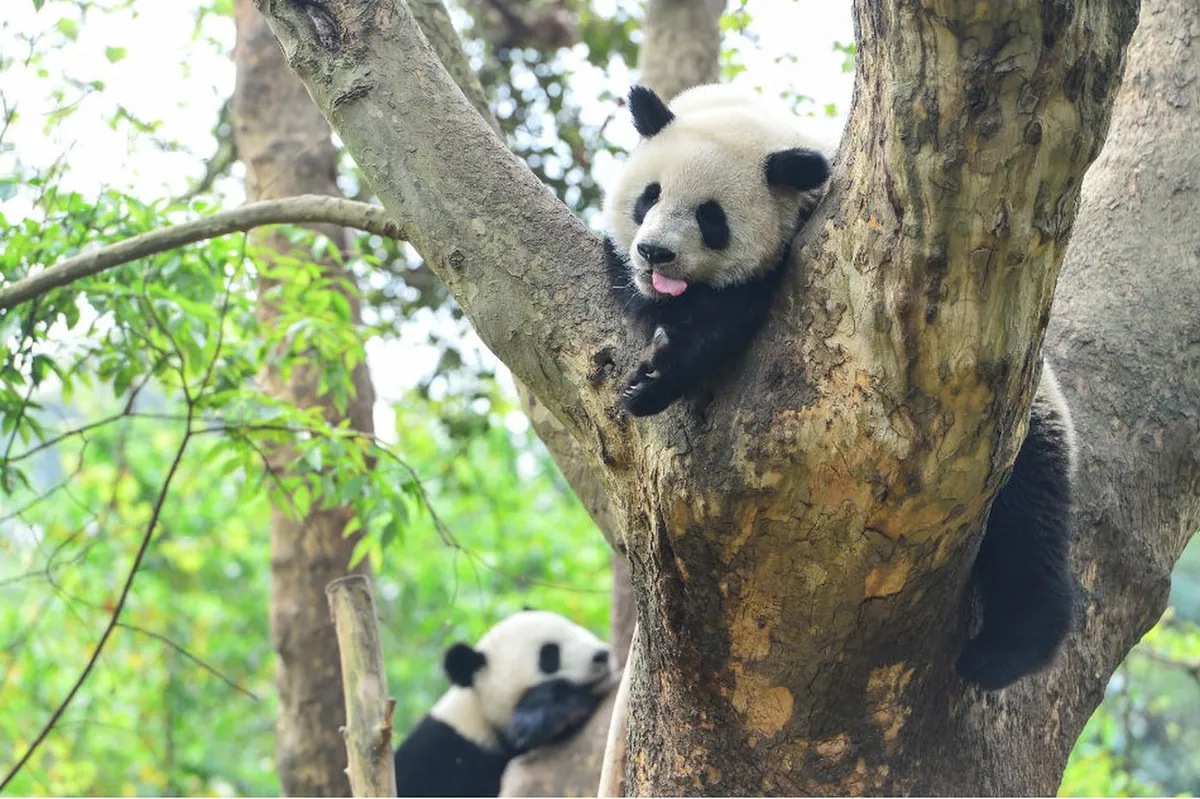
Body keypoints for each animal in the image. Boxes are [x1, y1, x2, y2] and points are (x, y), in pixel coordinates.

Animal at [602, 83, 1078, 691]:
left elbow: (731, 319)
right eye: (650, 196)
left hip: (1023, 428)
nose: (655, 253)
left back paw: (1008, 650)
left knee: (1031, 522)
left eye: (711, 219)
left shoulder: (805, 252)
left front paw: (658, 374)